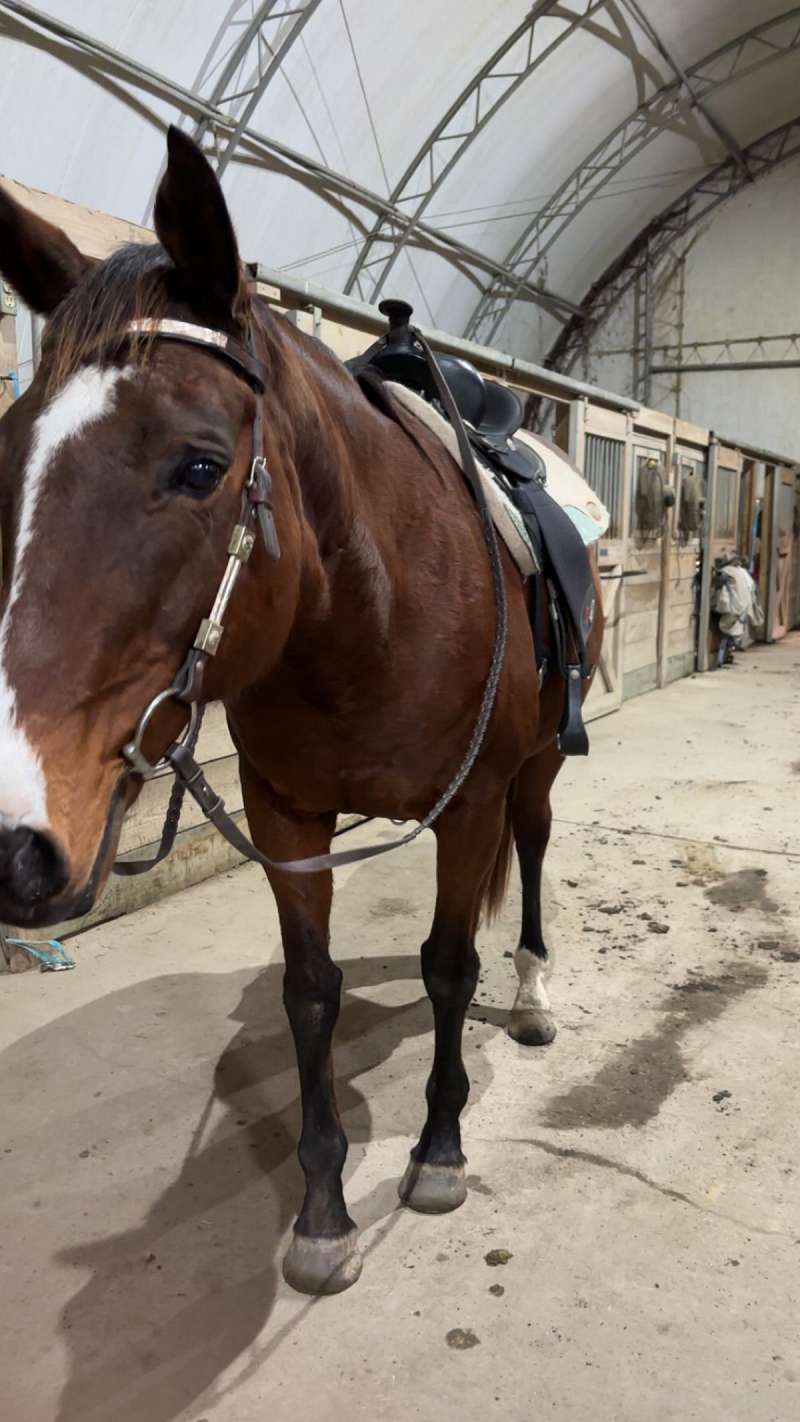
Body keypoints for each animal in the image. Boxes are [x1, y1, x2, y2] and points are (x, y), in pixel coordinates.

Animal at [0, 127, 603, 1295]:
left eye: (199, 465)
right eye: (6, 462)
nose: (14, 845)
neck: (371, 612)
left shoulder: (467, 807)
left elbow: (447, 964)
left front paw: (438, 1152)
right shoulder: (288, 821)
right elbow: (310, 992)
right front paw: (323, 1212)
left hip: (537, 768)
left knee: (535, 846)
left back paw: (533, 997)